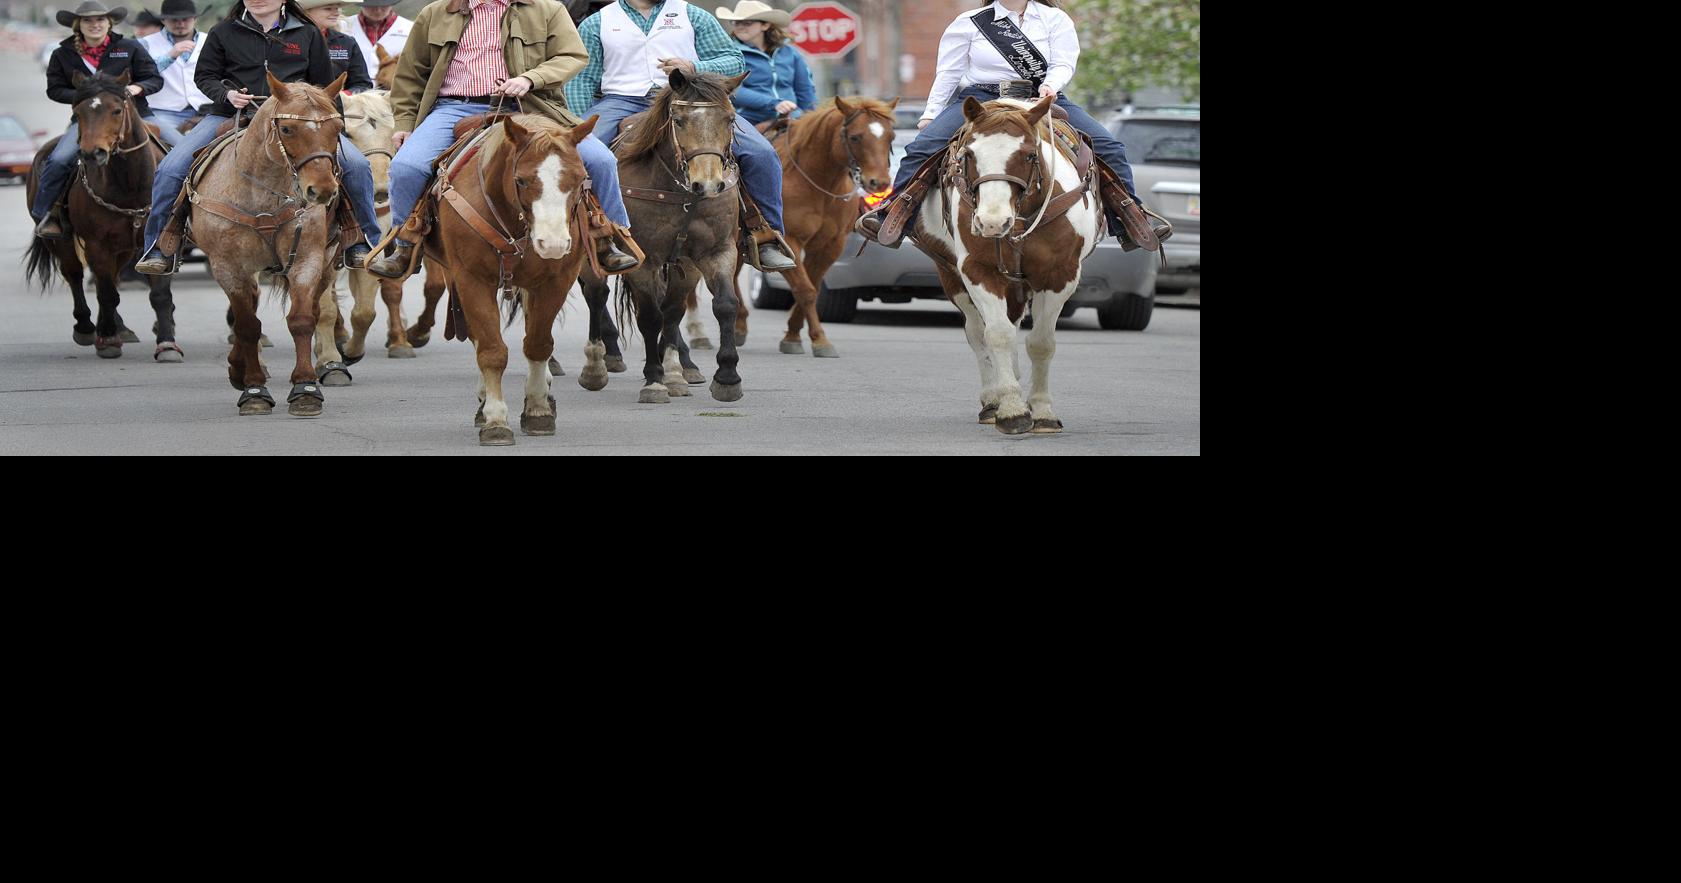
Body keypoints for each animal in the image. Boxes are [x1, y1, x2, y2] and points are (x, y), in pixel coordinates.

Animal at [24, 71, 180, 362]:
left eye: (117, 110)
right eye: (78, 112)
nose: (91, 153)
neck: (131, 185)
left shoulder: (156, 242)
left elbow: (159, 294)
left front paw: (167, 343)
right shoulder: (97, 245)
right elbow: (107, 293)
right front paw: (107, 340)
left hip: (123, 249)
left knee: (111, 278)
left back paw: (119, 328)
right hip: (60, 241)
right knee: (75, 275)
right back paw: (87, 327)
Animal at [188, 71, 352, 416]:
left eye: (337, 128)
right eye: (287, 129)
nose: (322, 190)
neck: (262, 193)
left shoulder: (306, 259)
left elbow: (302, 320)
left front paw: (305, 389)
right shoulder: (229, 268)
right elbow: (248, 326)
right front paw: (254, 390)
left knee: (317, 309)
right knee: (248, 310)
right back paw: (241, 368)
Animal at [419, 112, 599, 445]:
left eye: (581, 178)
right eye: (522, 180)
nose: (552, 244)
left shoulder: (557, 280)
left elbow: (538, 344)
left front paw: (538, 410)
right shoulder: (472, 279)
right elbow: (491, 350)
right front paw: (495, 419)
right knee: (477, 337)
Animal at [577, 69, 747, 405]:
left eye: (730, 119)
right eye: (678, 121)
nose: (708, 184)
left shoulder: (710, 254)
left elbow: (712, 306)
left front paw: (723, 376)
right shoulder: (644, 260)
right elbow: (650, 317)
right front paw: (655, 381)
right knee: (596, 293)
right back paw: (596, 365)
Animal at [911, 95, 1103, 435]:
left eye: (1029, 155)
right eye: (969, 154)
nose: (991, 223)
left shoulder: (1060, 275)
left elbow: (1041, 343)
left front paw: (1042, 411)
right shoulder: (978, 270)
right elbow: (997, 335)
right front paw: (1012, 410)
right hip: (952, 275)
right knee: (978, 332)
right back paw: (993, 401)